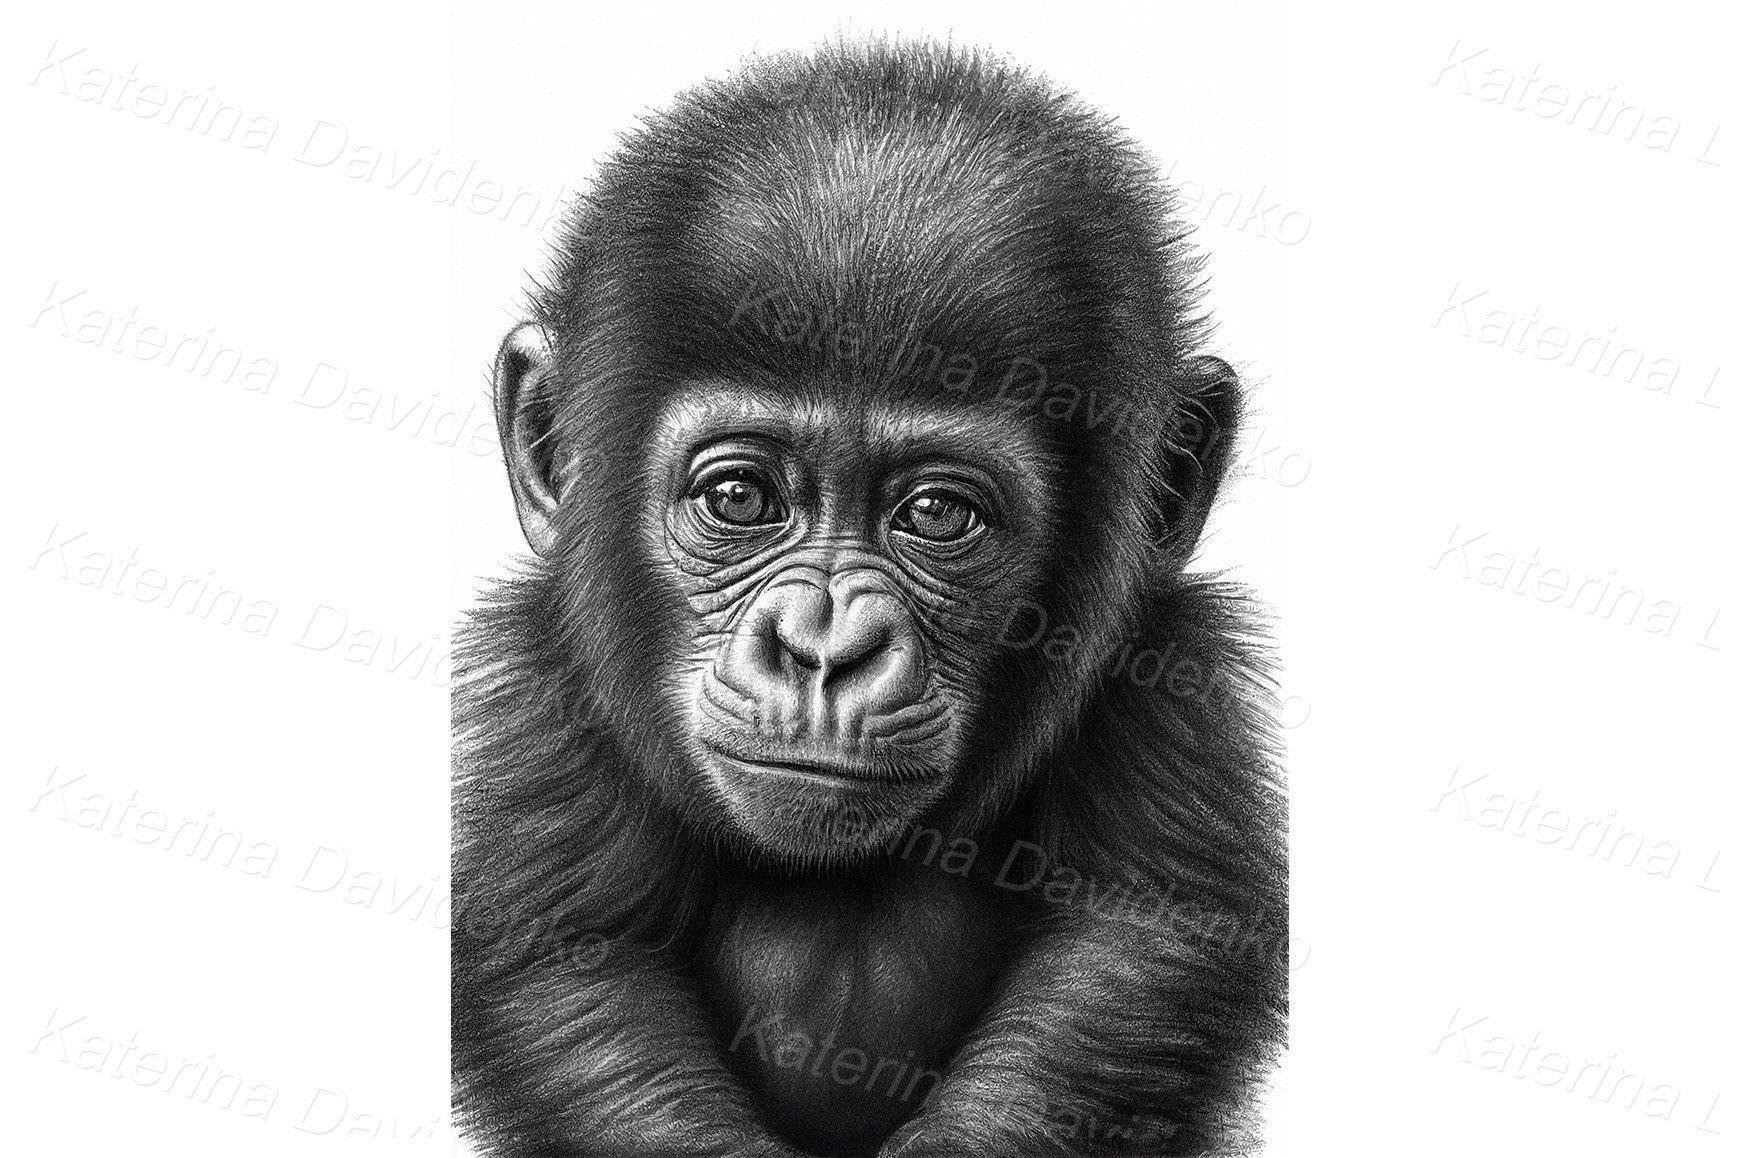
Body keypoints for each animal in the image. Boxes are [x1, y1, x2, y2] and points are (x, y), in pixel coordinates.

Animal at [454, 39, 1285, 1158]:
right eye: (739, 498)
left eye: (936, 513)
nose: (824, 647)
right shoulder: (531, 696)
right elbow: (563, 962)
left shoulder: (1176, 682)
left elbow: (1144, 943)